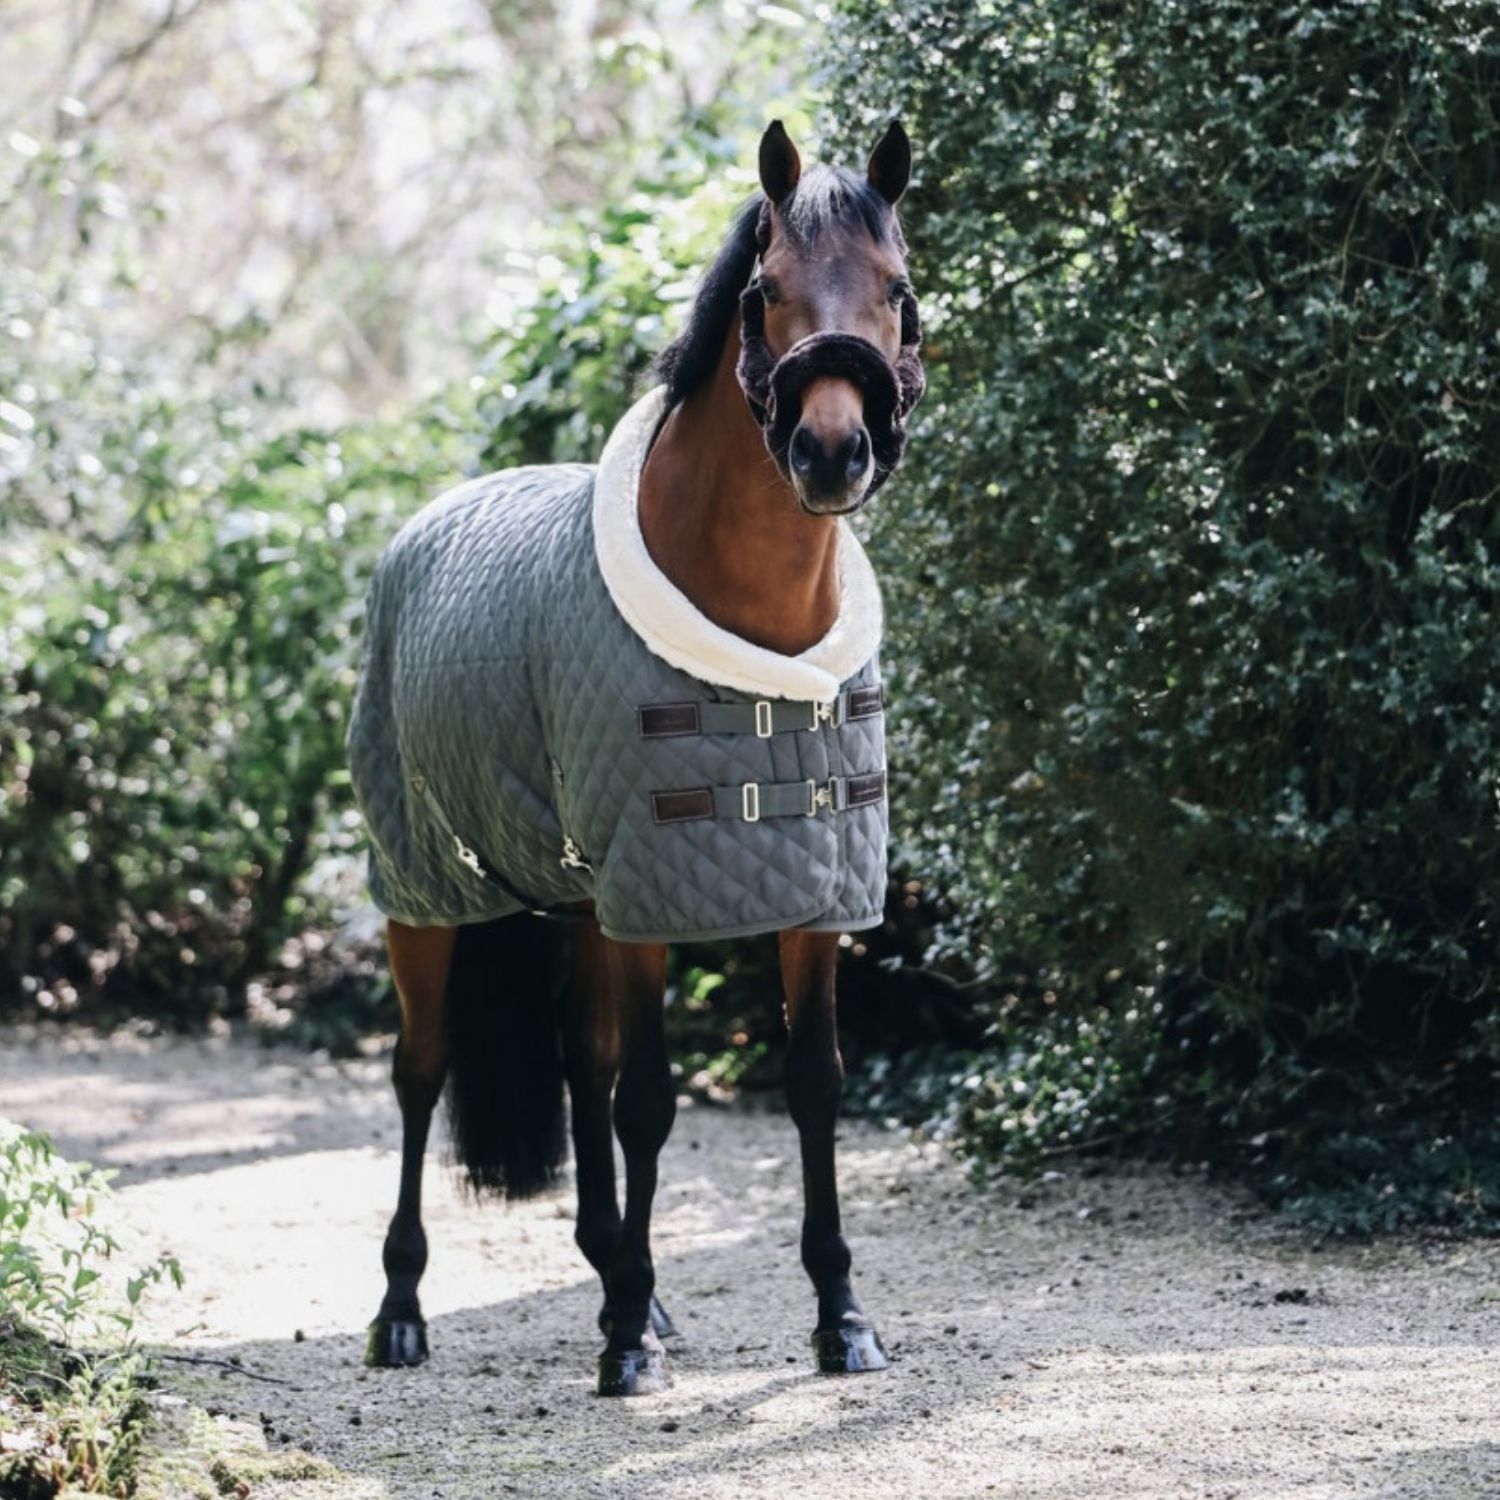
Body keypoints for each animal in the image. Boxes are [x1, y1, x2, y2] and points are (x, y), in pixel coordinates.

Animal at [351, 119, 924, 1397]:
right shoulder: (653, 900)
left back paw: (630, 1283)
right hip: (427, 897)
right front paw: (620, 1345)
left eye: (896, 291)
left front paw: (840, 1317)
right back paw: (404, 1309)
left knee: (581, 1065)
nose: (831, 452)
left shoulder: (809, 894)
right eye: (767, 291)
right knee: (422, 1072)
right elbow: (653, 1103)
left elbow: (812, 1086)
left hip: (574, 905)